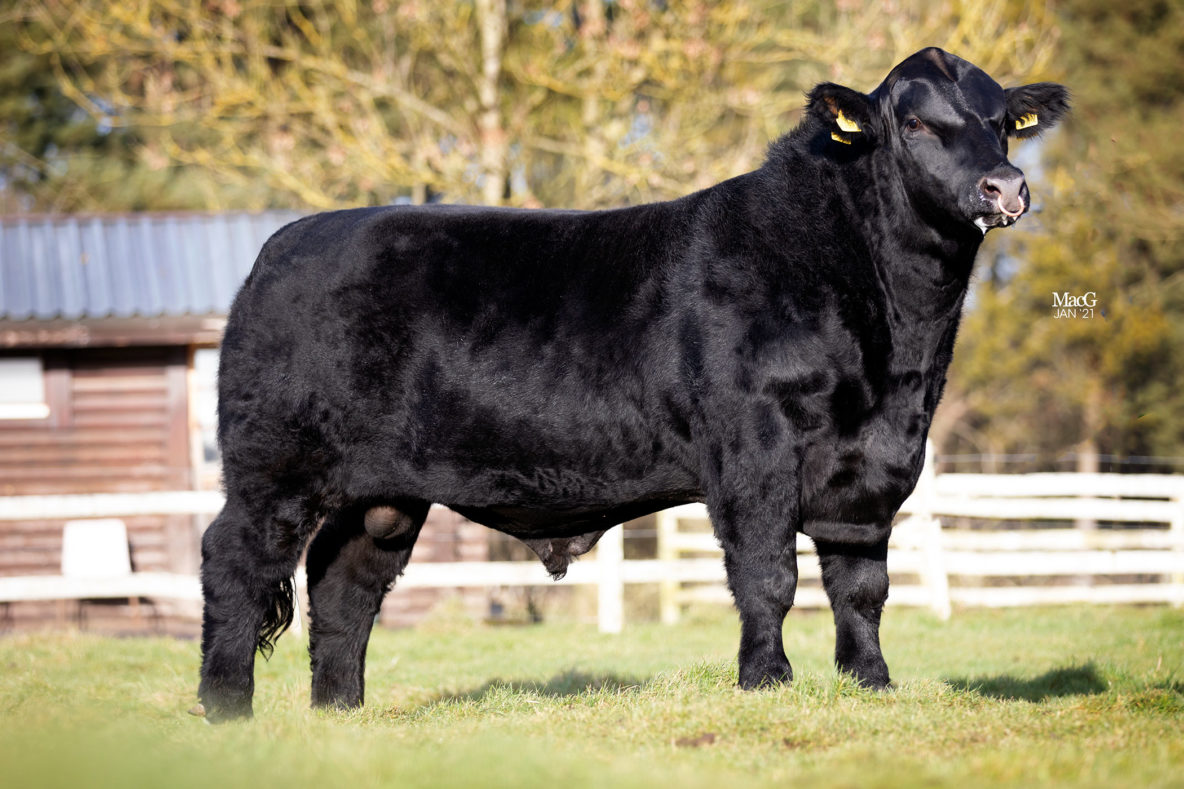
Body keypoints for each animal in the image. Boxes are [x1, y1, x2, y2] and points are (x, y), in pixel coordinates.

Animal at [197, 47, 1068, 721]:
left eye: (1000, 122)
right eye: (916, 123)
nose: (1005, 188)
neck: (898, 343)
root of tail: (289, 240)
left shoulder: (877, 461)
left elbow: (862, 584)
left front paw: (872, 683)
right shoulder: (753, 451)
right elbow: (768, 574)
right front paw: (767, 681)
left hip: (380, 493)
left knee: (345, 582)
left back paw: (341, 709)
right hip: (275, 462)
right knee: (236, 556)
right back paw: (226, 706)